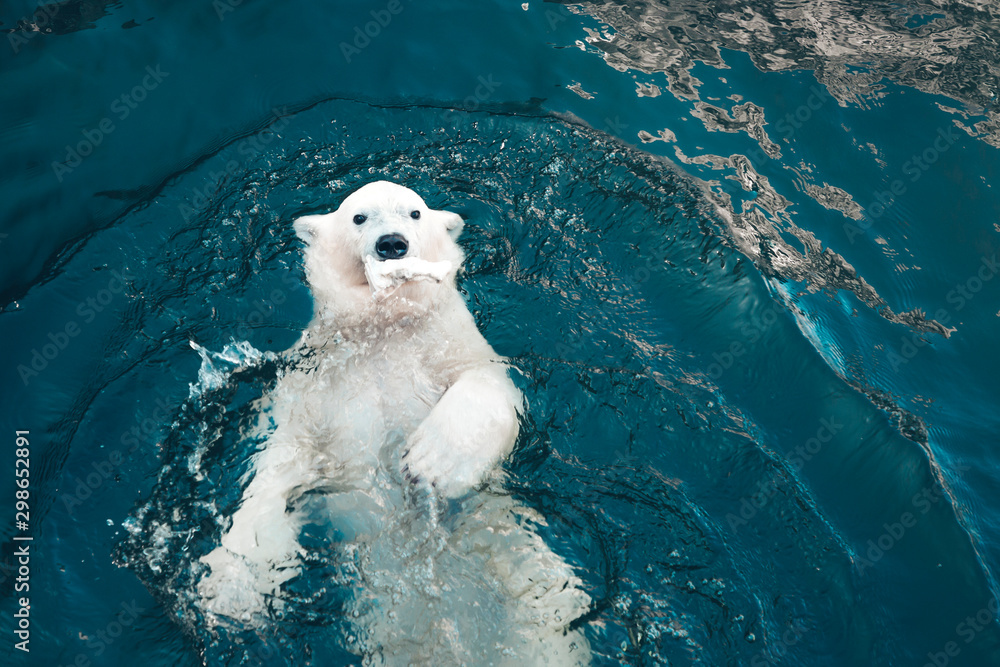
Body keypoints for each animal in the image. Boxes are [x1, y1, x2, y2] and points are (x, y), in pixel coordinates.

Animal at [197, 181, 592, 665]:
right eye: (359, 217)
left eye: (415, 213)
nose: (392, 244)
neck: (386, 324)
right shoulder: (314, 380)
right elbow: (281, 459)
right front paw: (231, 586)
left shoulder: (448, 343)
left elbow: (491, 386)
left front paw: (430, 459)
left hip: (501, 535)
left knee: (546, 595)